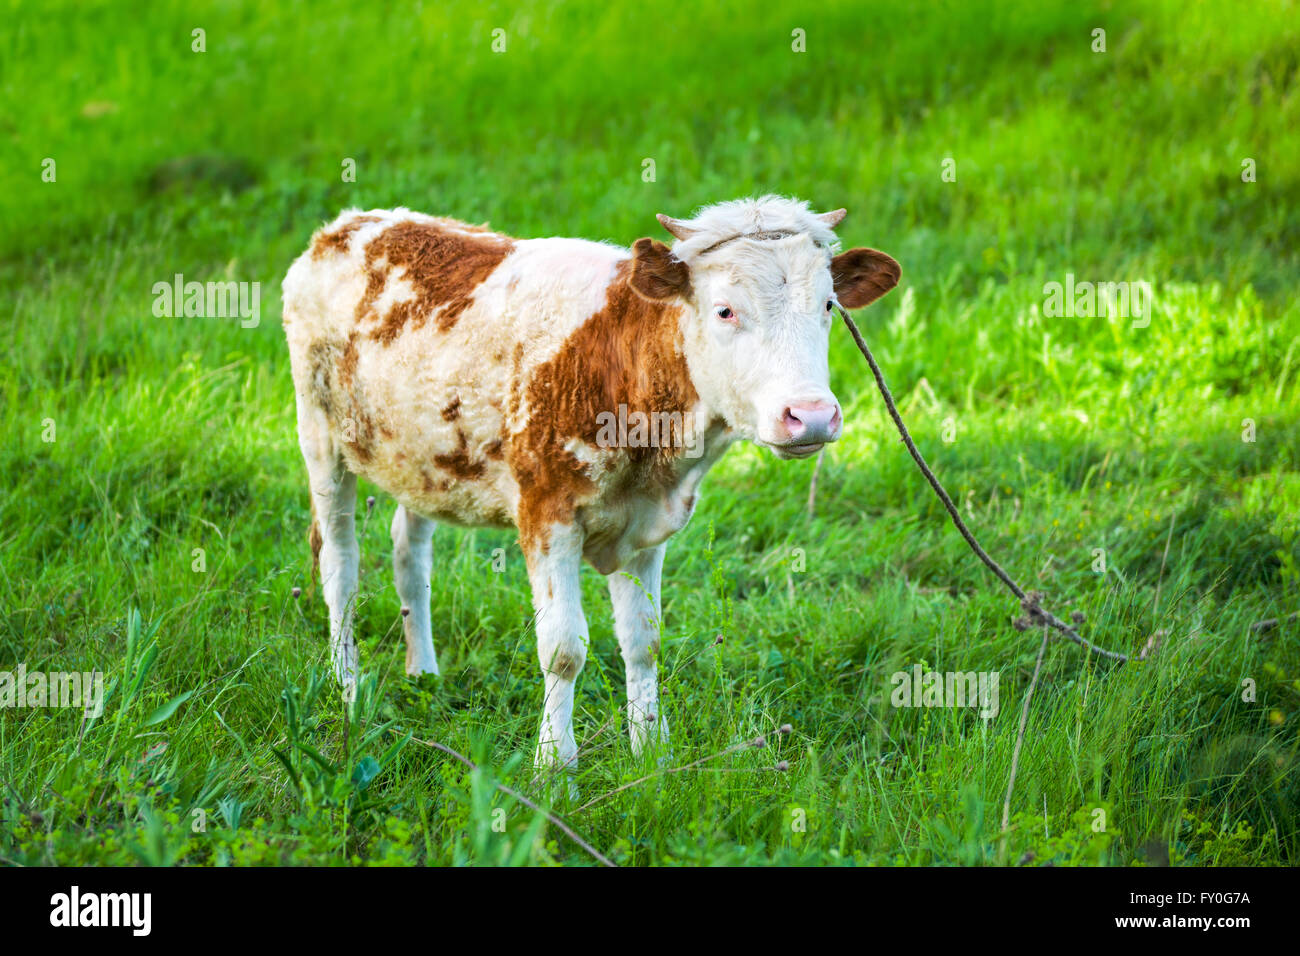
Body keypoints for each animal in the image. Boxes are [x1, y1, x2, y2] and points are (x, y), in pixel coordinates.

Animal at [281, 195, 900, 778]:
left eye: (827, 305)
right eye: (725, 309)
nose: (811, 415)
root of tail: (349, 225)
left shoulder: (648, 527)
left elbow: (644, 641)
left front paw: (652, 754)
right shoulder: (546, 513)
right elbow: (563, 649)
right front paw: (554, 765)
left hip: (423, 459)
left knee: (410, 550)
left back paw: (424, 672)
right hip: (320, 437)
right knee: (339, 564)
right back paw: (348, 691)